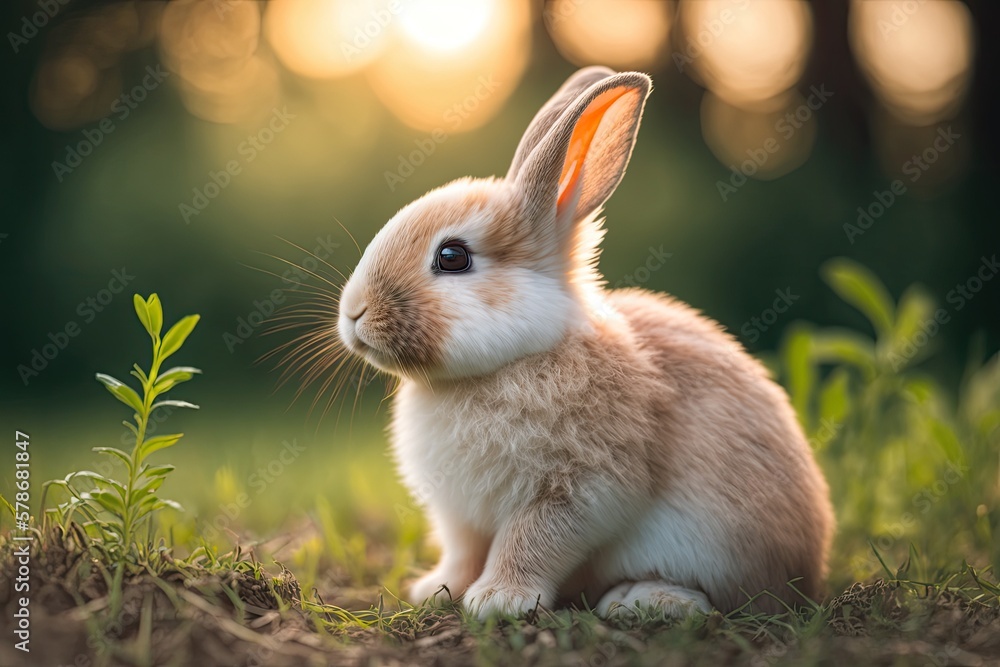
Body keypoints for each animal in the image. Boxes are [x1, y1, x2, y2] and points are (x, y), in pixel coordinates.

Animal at [337, 66, 834, 619]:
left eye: (452, 257)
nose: (354, 312)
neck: (510, 362)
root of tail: (808, 570)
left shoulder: (578, 489)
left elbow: (531, 542)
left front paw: (498, 600)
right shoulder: (460, 517)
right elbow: (463, 553)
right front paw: (436, 590)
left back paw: (641, 599)